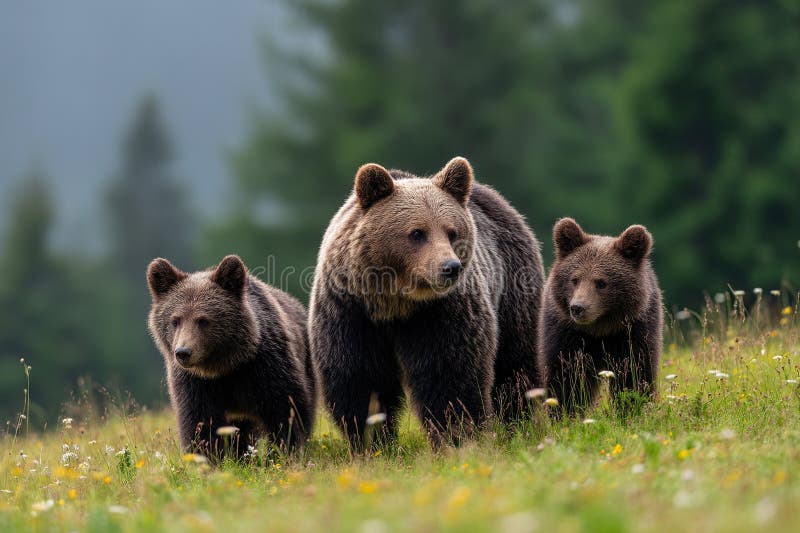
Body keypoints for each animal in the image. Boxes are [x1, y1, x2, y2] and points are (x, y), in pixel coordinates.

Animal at [146, 254, 317, 458]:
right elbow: (200, 422)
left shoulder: (267, 366)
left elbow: (285, 410)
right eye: (175, 320)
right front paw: (207, 457)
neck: (224, 367)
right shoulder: (195, 383)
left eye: (203, 320)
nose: (183, 352)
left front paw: (283, 452)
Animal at [309, 156, 544, 449]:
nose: (450, 267)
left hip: (513, 286)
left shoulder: (440, 313)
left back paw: (517, 420)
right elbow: (360, 377)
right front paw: (372, 440)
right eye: (417, 233)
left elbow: (449, 375)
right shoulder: (351, 311)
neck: (394, 303)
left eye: (451, 232)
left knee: (515, 361)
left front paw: (455, 436)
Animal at [538, 218, 663, 413]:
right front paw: (566, 411)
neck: (600, 329)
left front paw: (630, 408)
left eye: (601, 282)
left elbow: (633, 373)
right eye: (574, 279)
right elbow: (566, 377)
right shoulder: (565, 333)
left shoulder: (634, 331)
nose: (577, 307)